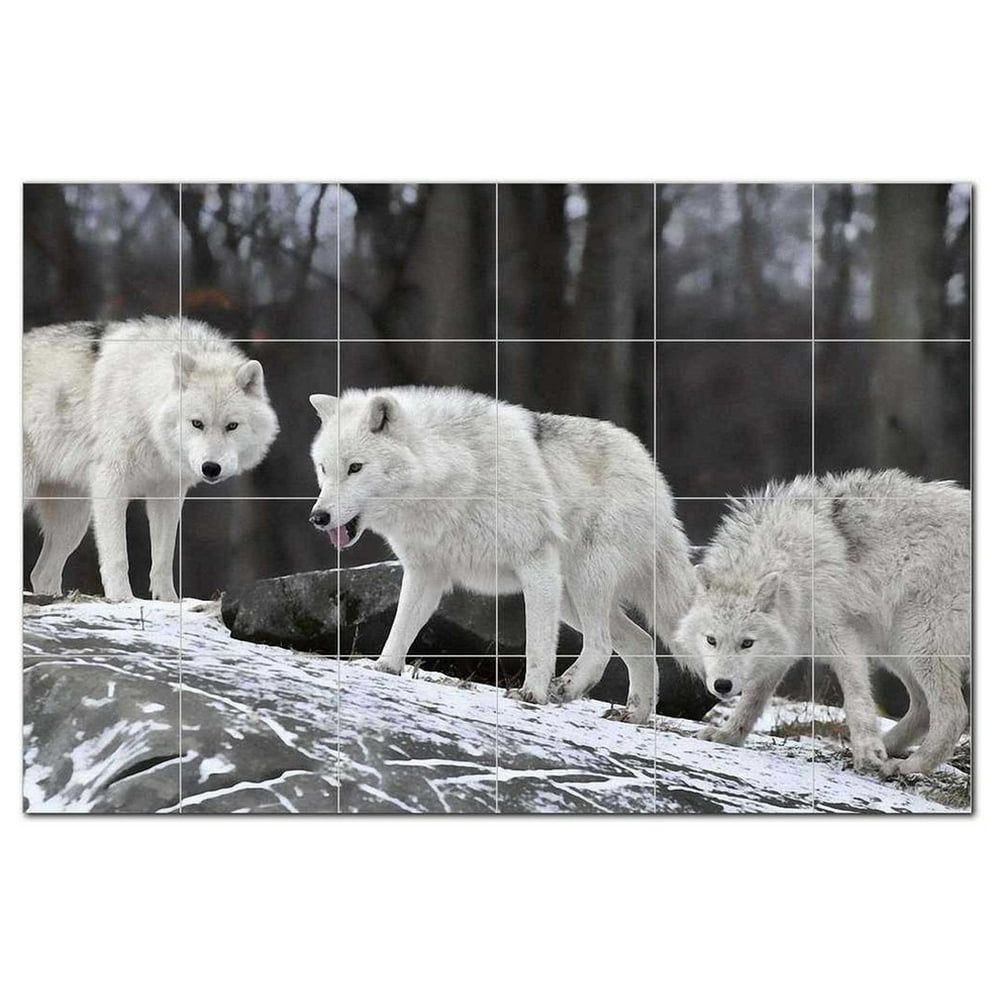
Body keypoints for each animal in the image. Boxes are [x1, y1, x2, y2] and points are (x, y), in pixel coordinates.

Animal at [23, 317, 279, 601]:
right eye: (197, 423)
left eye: (232, 426)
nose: (211, 468)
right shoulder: (111, 483)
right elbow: (118, 557)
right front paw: (123, 599)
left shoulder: (167, 492)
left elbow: (163, 558)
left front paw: (168, 600)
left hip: (73, 521)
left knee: (42, 573)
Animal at [307, 386, 697, 723]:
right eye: (324, 468)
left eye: (355, 467)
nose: (318, 517)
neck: (452, 475)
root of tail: (649, 467)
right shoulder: (425, 574)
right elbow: (400, 629)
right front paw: (384, 669)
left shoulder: (536, 564)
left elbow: (537, 646)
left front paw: (532, 695)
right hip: (570, 598)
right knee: (641, 641)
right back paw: (635, 715)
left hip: (583, 583)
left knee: (601, 644)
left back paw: (566, 689)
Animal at [673, 469, 971, 775]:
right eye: (711, 640)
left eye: (746, 643)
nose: (722, 685)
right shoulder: (785, 646)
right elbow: (752, 700)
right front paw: (729, 735)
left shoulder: (841, 637)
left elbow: (857, 701)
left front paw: (868, 753)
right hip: (896, 647)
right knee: (924, 709)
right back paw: (886, 749)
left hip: (918, 642)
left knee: (953, 714)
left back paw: (910, 765)